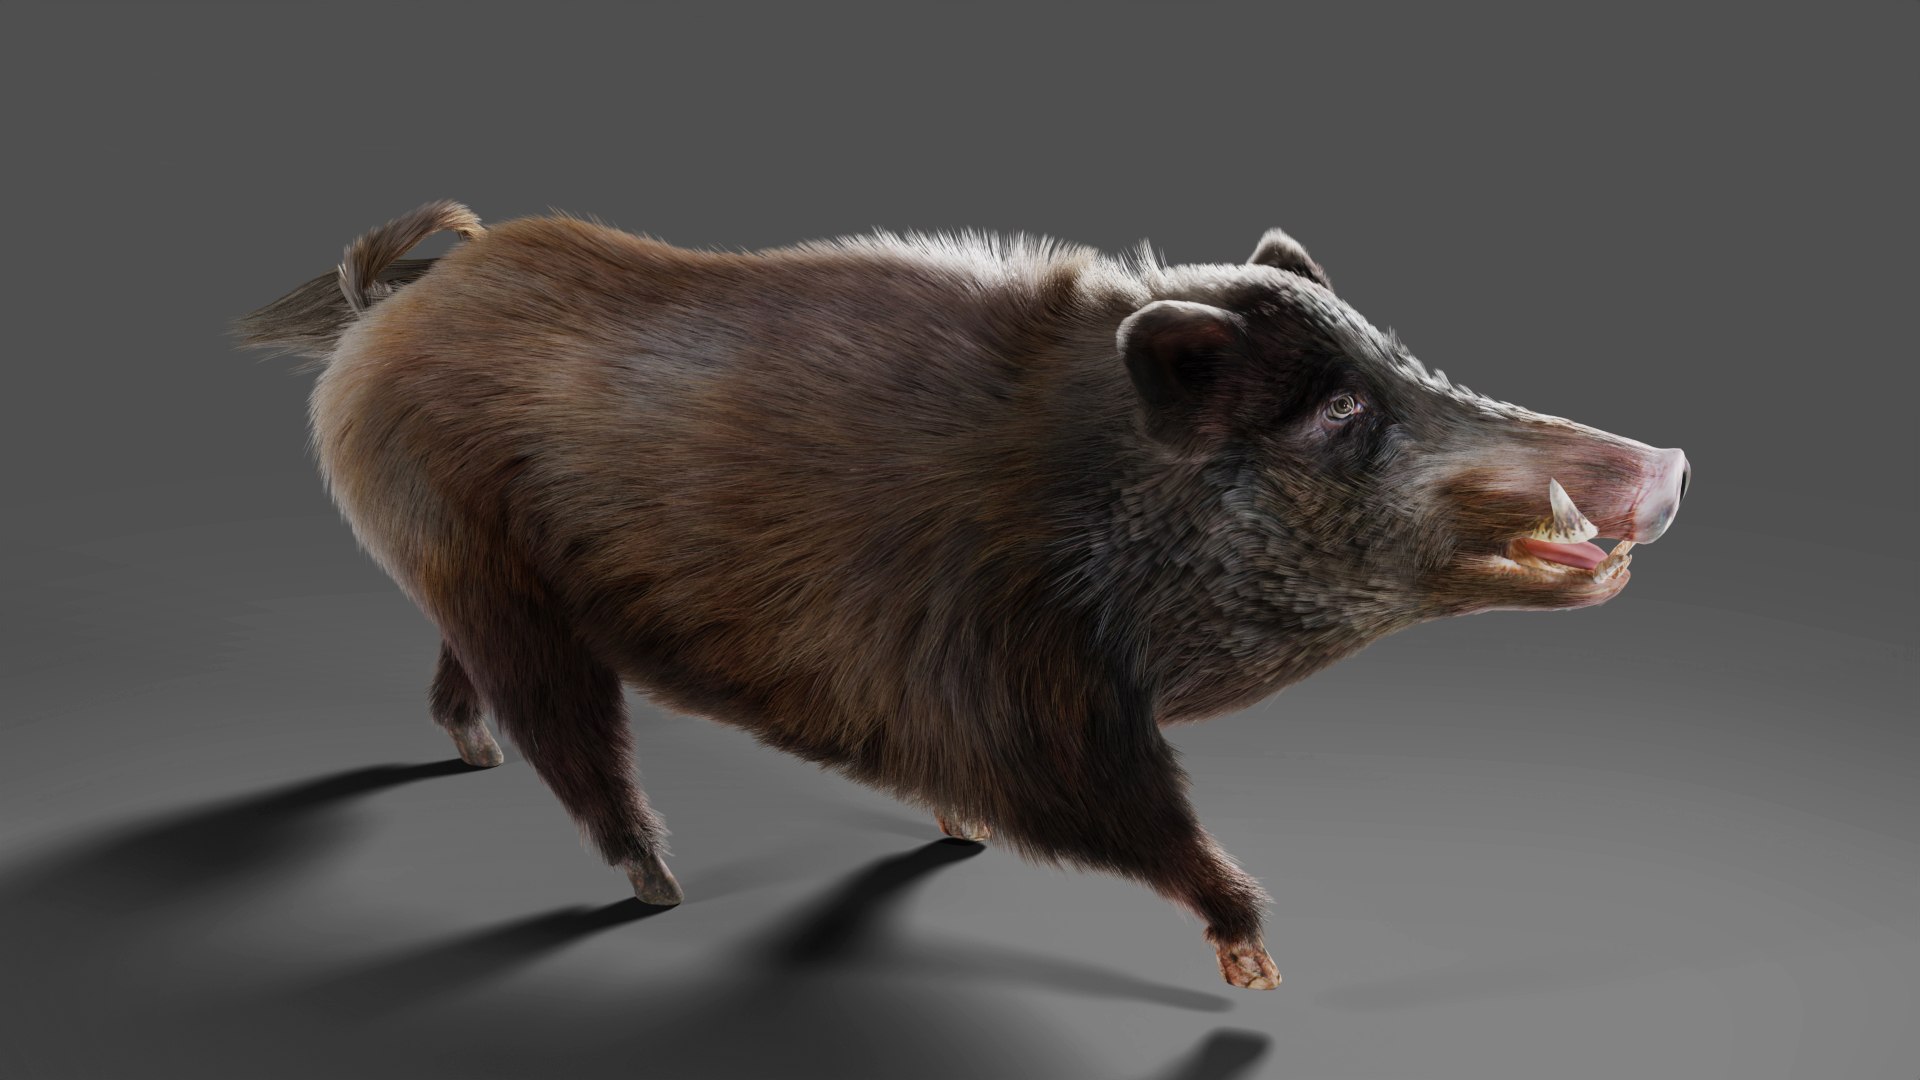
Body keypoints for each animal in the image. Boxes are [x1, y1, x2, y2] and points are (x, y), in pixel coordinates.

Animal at [232, 201, 1689, 989]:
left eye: (1403, 359)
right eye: (1336, 412)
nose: (1668, 462)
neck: (1092, 501)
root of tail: (379, 317)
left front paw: (957, 835)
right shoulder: (1018, 690)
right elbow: (1107, 810)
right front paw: (1257, 964)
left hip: (473, 577)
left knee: (466, 678)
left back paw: (472, 754)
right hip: (494, 576)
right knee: (572, 740)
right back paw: (660, 890)